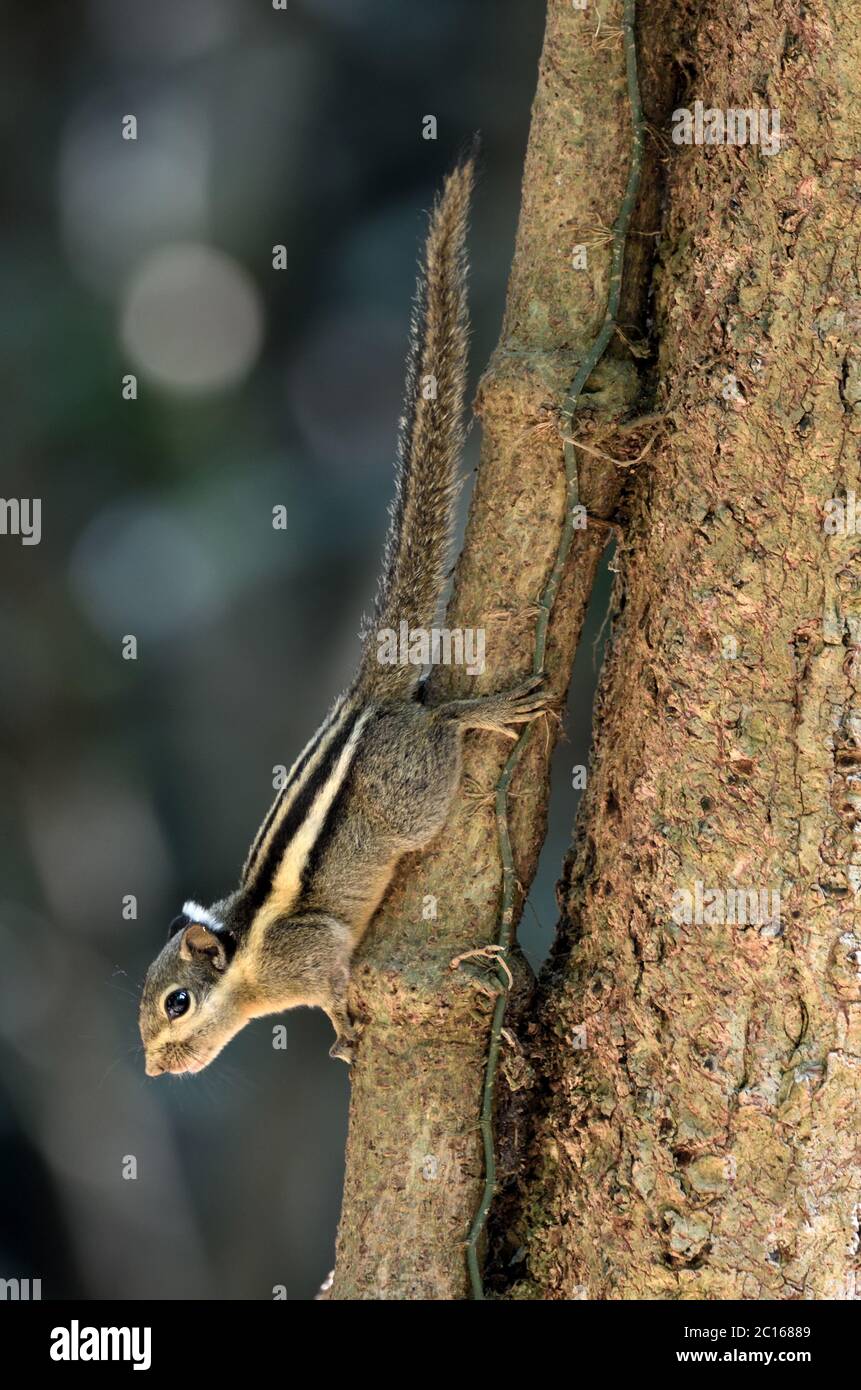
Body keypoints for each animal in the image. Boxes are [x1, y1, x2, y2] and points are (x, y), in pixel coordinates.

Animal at [139, 149, 550, 1076]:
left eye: (177, 1004)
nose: (152, 1066)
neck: (247, 963)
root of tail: (365, 697)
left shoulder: (314, 948)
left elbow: (332, 977)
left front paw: (341, 1029)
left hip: (410, 790)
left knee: (438, 732)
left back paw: (481, 712)